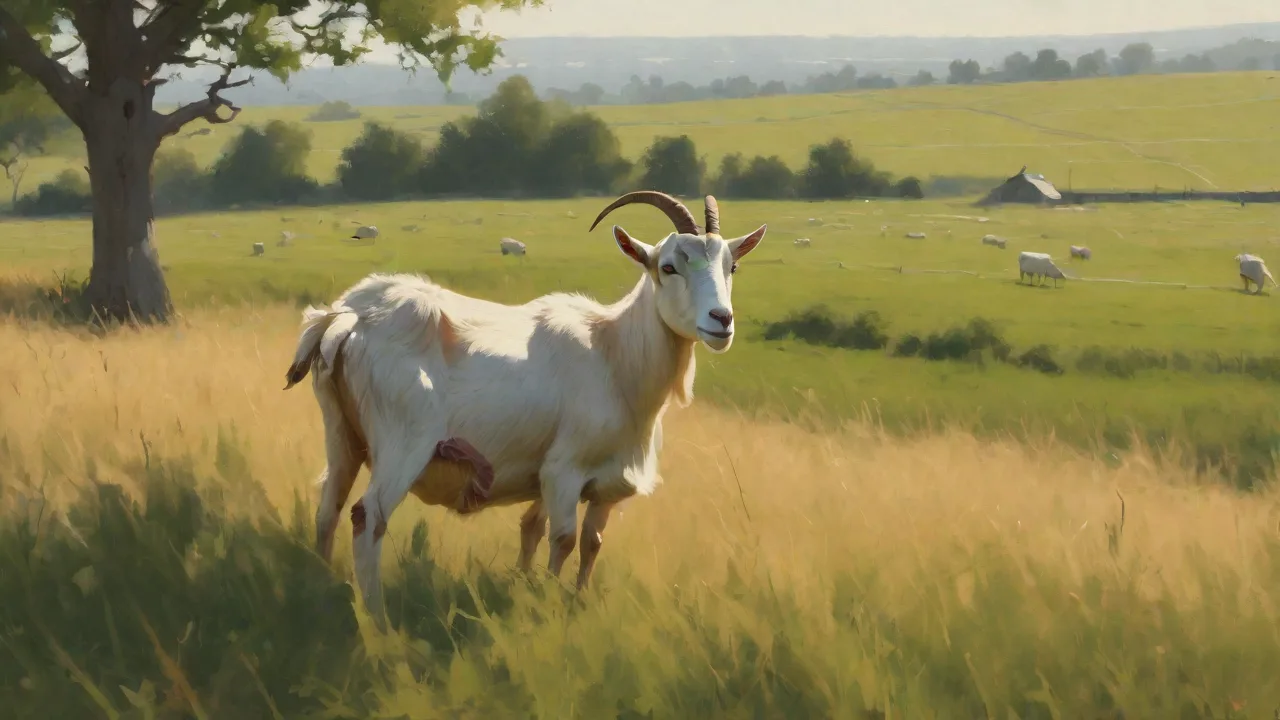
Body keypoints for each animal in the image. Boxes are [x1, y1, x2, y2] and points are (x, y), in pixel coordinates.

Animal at [284, 191, 767, 627]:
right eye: (667, 266)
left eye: (731, 266)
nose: (721, 320)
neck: (613, 353)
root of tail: (348, 317)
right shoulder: (564, 472)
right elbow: (564, 540)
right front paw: (549, 608)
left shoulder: (593, 484)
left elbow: (569, 539)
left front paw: (559, 599)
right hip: (403, 444)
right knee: (369, 518)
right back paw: (378, 620)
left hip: (343, 434)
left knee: (328, 507)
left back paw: (320, 587)